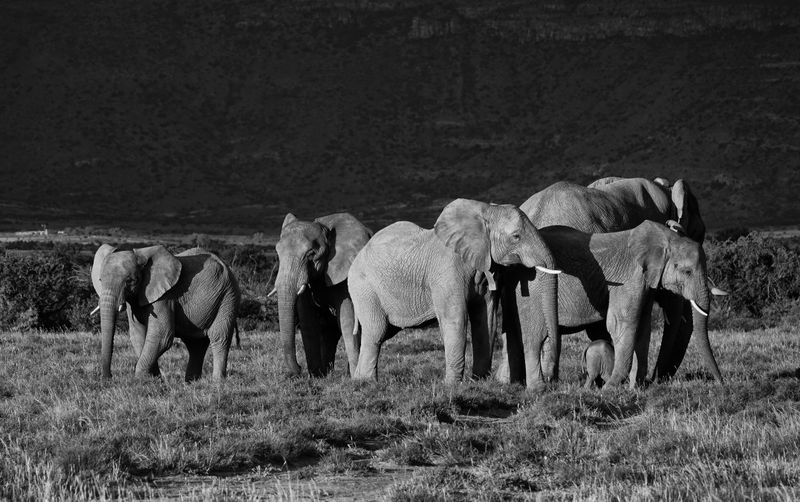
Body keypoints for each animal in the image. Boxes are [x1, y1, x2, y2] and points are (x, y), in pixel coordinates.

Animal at [91, 245, 240, 381]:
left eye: (130, 281)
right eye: (100, 280)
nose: (108, 378)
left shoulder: (165, 297)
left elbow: (162, 335)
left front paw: (140, 380)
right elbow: (138, 335)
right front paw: (154, 379)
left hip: (228, 295)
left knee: (219, 337)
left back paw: (217, 382)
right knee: (195, 344)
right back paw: (191, 382)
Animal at [274, 212, 372, 377]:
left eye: (311, 254)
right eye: (278, 252)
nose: (299, 368)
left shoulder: (344, 272)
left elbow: (347, 318)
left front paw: (354, 378)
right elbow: (308, 320)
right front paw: (316, 377)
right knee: (328, 332)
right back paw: (327, 373)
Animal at [348, 198, 561, 382]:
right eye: (516, 237)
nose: (551, 379)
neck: (485, 212)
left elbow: (486, 318)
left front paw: (479, 382)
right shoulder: (447, 271)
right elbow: (456, 318)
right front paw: (452, 385)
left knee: (382, 332)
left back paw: (359, 381)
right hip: (363, 288)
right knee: (376, 331)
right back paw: (367, 383)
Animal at [503, 220, 724, 389]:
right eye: (687, 271)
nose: (722, 383)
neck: (665, 237)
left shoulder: (645, 283)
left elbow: (643, 327)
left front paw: (634, 389)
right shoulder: (630, 278)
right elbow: (621, 324)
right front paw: (611, 388)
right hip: (530, 290)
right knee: (535, 335)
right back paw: (537, 389)